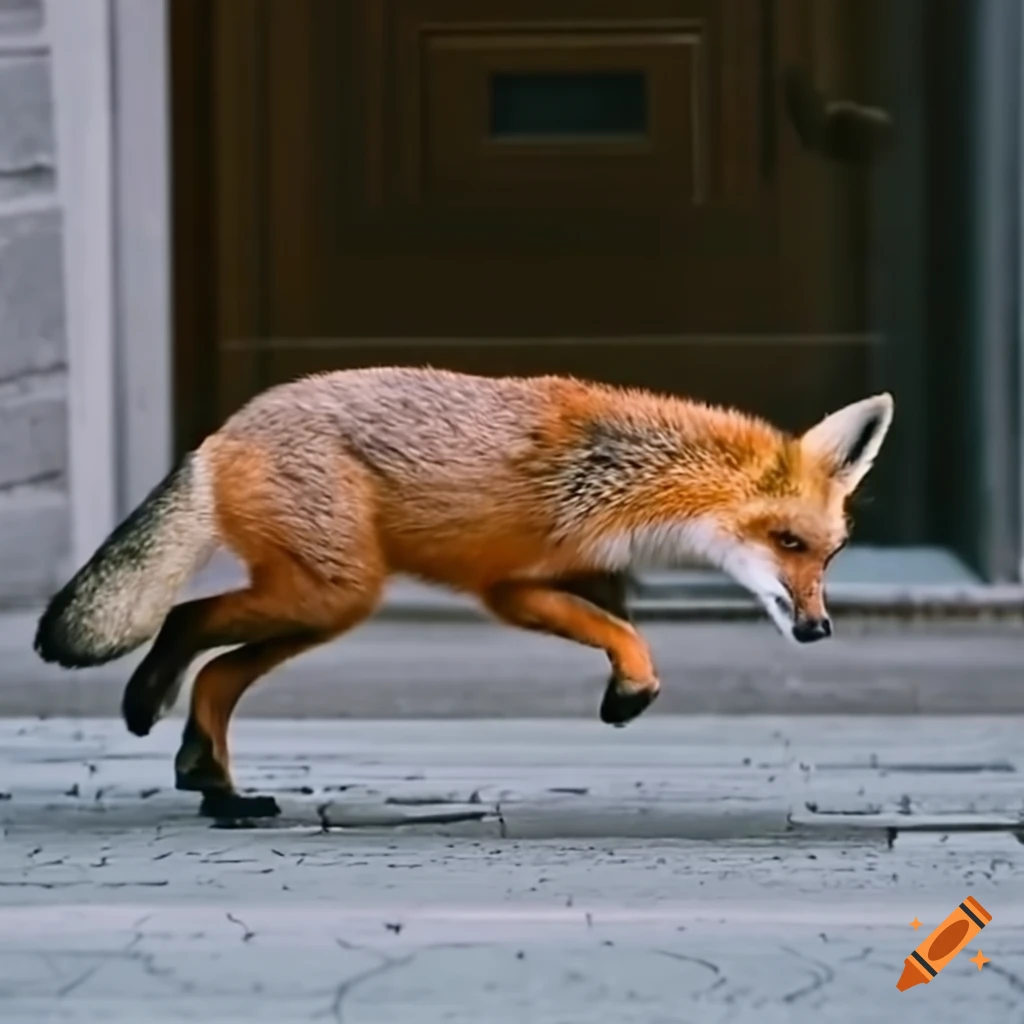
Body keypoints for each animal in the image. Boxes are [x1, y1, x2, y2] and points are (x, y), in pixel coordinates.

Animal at [33, 367, 893, 818]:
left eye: (832, 555)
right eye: (787, 544)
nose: (817, 628)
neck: (635, 483)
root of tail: (222, 432)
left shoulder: (592, 575)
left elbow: (619, 623)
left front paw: (625, 684)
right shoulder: (510, 589)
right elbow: (626, 637)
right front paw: (630, 691)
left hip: (326, 603)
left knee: (214, 671)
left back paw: (216, 788)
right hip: (330, 595)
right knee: (186, 621)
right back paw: (152, 707)